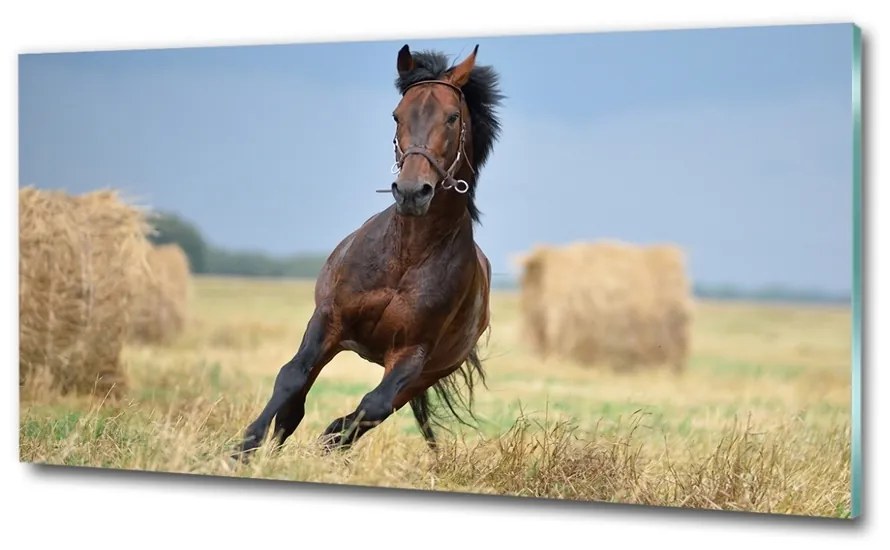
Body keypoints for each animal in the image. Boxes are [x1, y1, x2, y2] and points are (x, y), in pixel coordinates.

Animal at [234, 42, 500, 462]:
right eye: (397, 115)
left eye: (452, 117)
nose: (412, 192)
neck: (407, 255)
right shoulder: (328, 320)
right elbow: (291, 378)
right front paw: (244, 448)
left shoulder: (412, 354)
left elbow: (371, 406)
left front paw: (324, 443)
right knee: (300, 404)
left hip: (428, 373)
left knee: (375, 410)